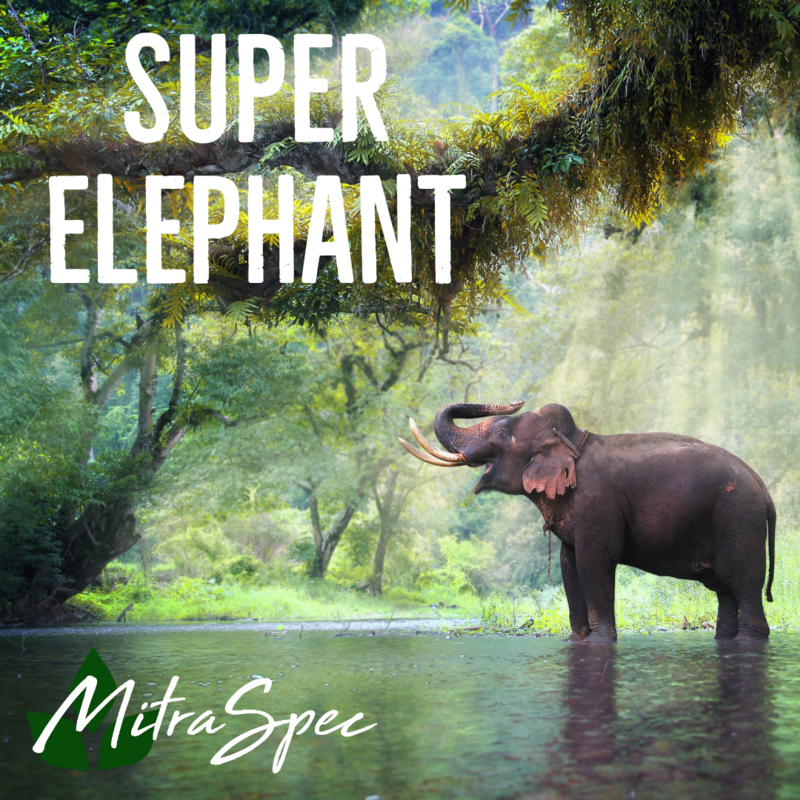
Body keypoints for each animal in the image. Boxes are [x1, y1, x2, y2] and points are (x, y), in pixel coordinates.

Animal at [398, 401, 776, 643]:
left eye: (503, 432)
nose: (515, 400)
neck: (575, 440)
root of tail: (766, 493)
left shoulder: (598, 503)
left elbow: (596, 561)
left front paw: (599, 642)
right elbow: (569, 566)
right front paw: (575, 640)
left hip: (739, 521)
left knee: (744, 584)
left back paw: (749, 640)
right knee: (725, 591)